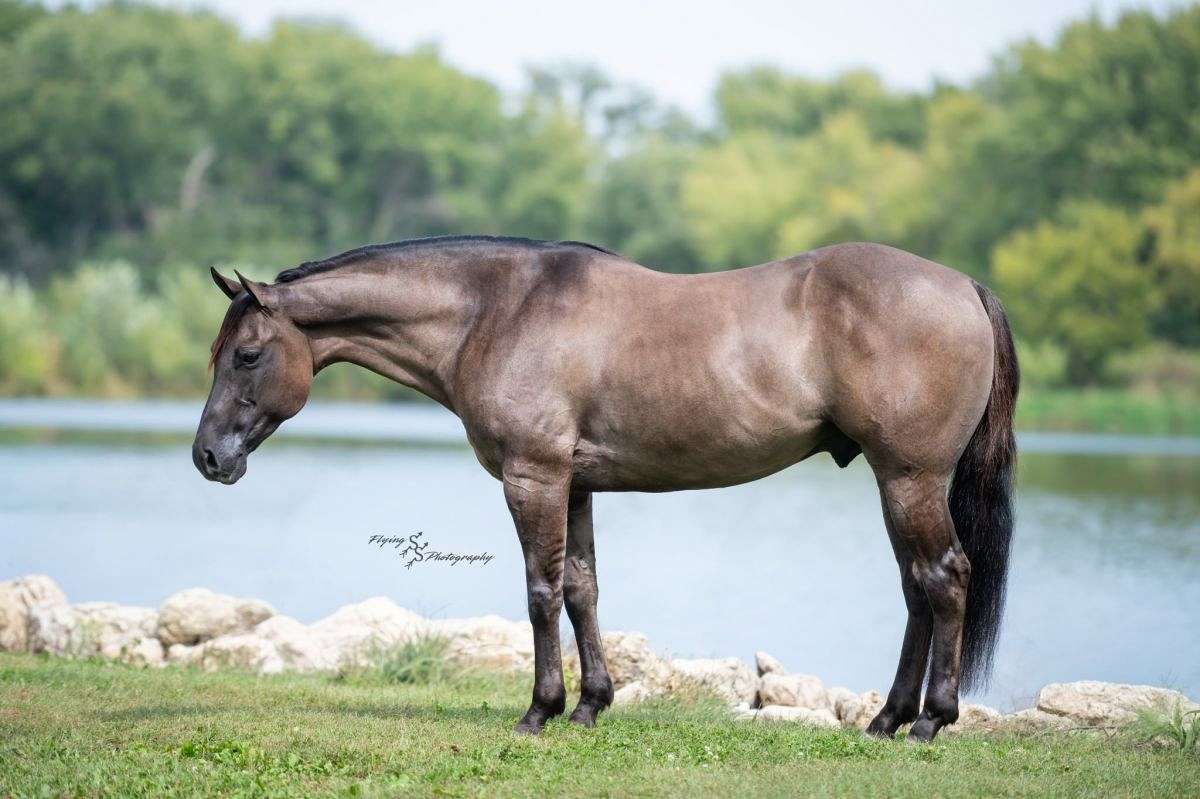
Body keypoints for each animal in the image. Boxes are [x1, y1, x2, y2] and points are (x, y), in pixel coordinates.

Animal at [193, 236, 1017, 742]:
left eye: (248, 354)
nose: (207, 456)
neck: (497, 311)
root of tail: (966, 287)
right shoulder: (576, 483)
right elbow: (582, 588)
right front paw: (591, 704)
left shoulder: (533, 476)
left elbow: (539, 590)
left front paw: (539, 710)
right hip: (895, 482)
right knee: (917, 589)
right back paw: (886, 718)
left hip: (909, 478)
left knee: (944, 578)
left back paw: (929, 720)